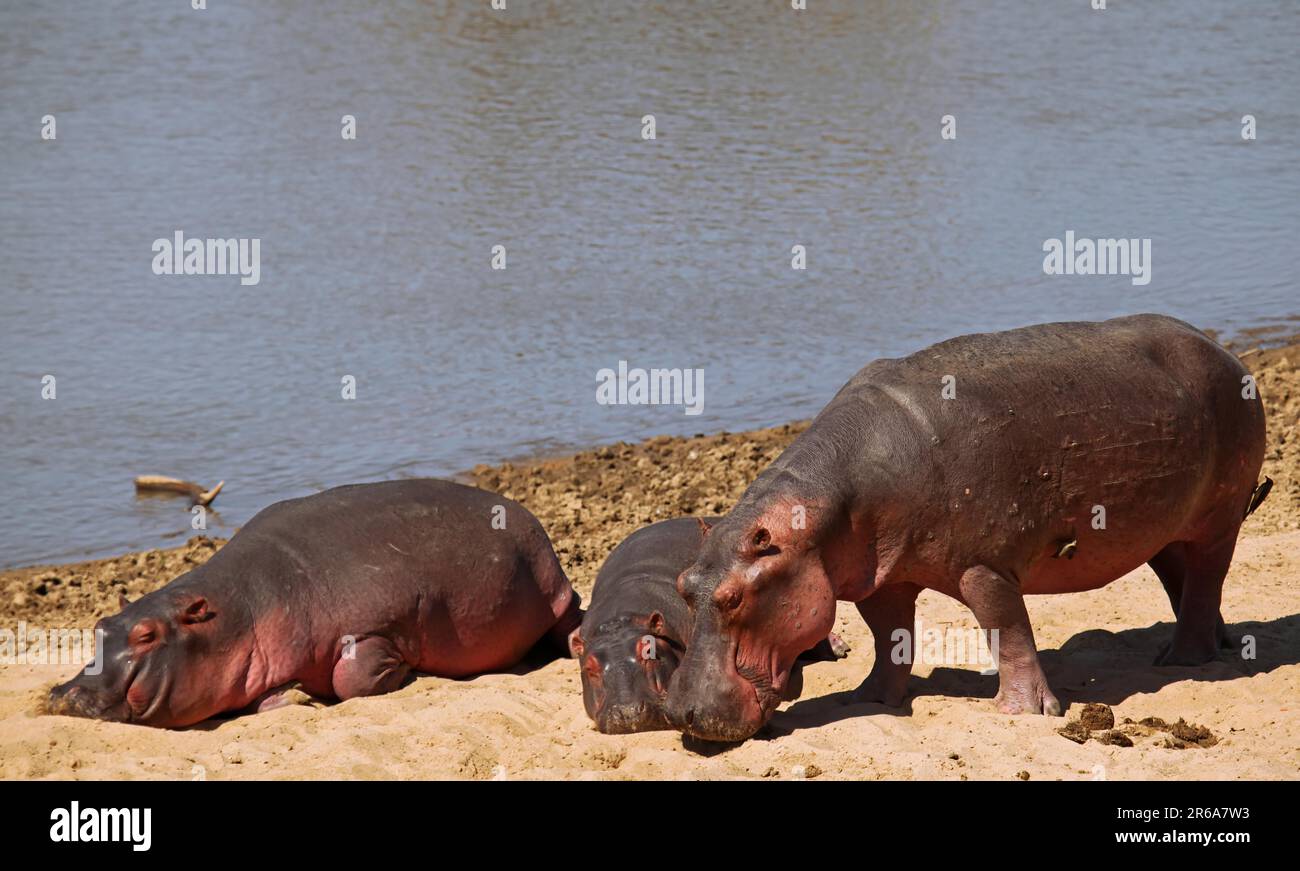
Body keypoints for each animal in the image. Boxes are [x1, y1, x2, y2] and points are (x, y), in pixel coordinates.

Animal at [47, 479, 581, 728]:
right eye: (101, 624)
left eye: (147, 634)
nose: (65, 693)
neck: (237, 611)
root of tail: (522, 510)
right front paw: (297, 695)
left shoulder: (374, 622)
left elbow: (353, 677)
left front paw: (402, 671)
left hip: (552, 587)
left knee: (568, 617)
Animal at [665, 314, 1270, 742]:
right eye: (684, 586)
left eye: (733, 597)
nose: (679, 712)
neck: (823, 509)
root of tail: (1222, 349)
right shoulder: (880, 578)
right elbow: (890, 638)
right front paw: (867, 699)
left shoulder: (985, 565)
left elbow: (1008, 631)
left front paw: (1023, 711)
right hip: (1164, 525)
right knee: (1180, 575)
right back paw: (1201, 644)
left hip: (1221, 515)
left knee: (1206, 577)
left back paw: (1186, 658)